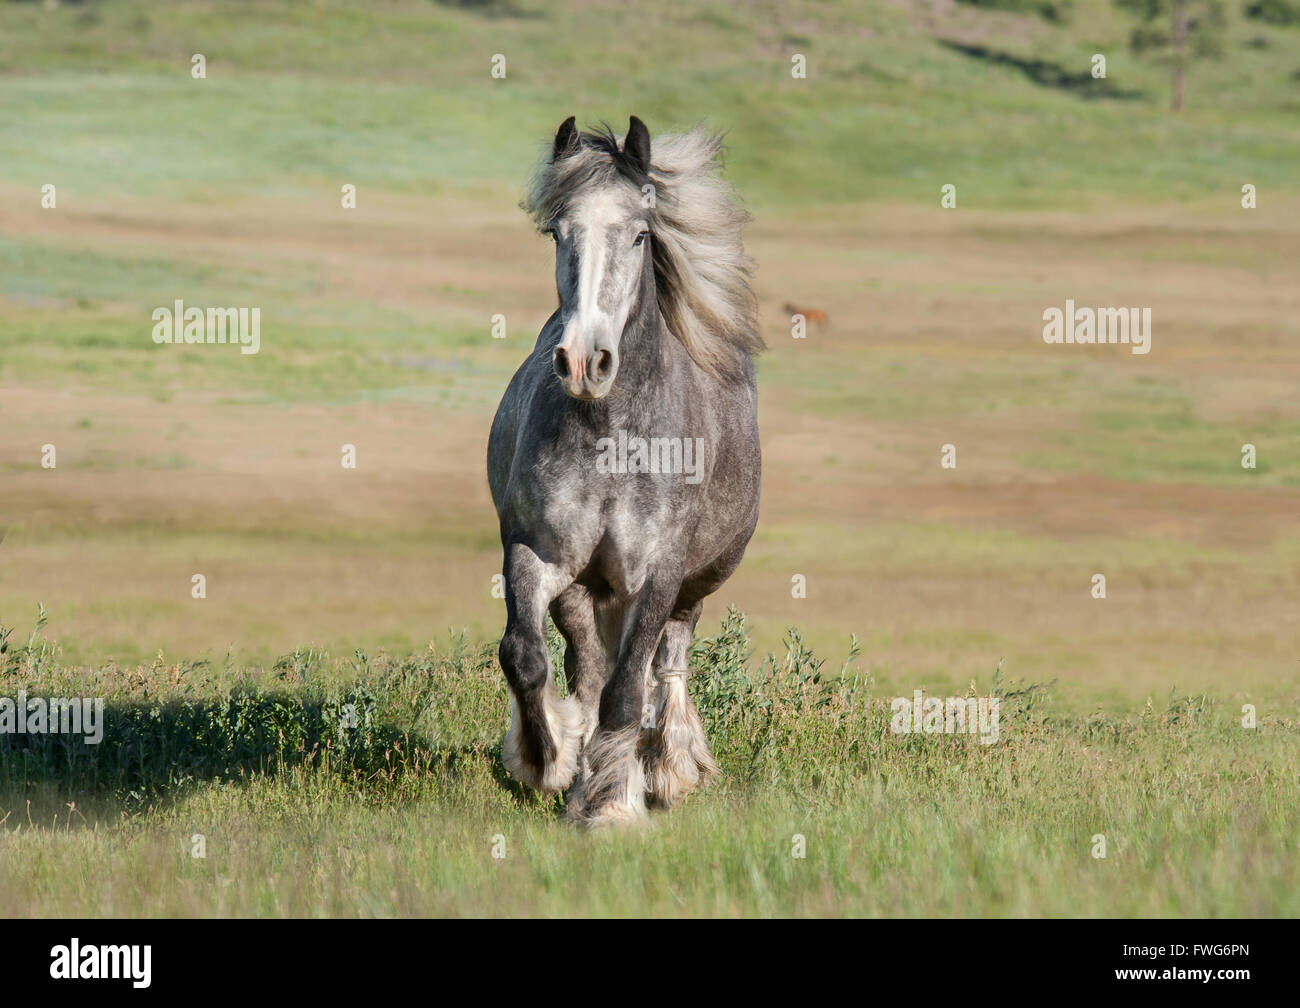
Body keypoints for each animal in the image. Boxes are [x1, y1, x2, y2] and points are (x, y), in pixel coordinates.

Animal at [486, 115, 763, 828]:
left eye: (640, 233)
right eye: (558, 232)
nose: (586, 360)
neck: (614, 441)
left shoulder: (657, 573)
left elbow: (627, 692)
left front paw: (612, 806)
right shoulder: (537, 551)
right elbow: (524, 656)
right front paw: (549, 762)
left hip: (688, 588)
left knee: (665, 667)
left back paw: (667, 769)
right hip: (588, 588)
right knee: (587, 665)